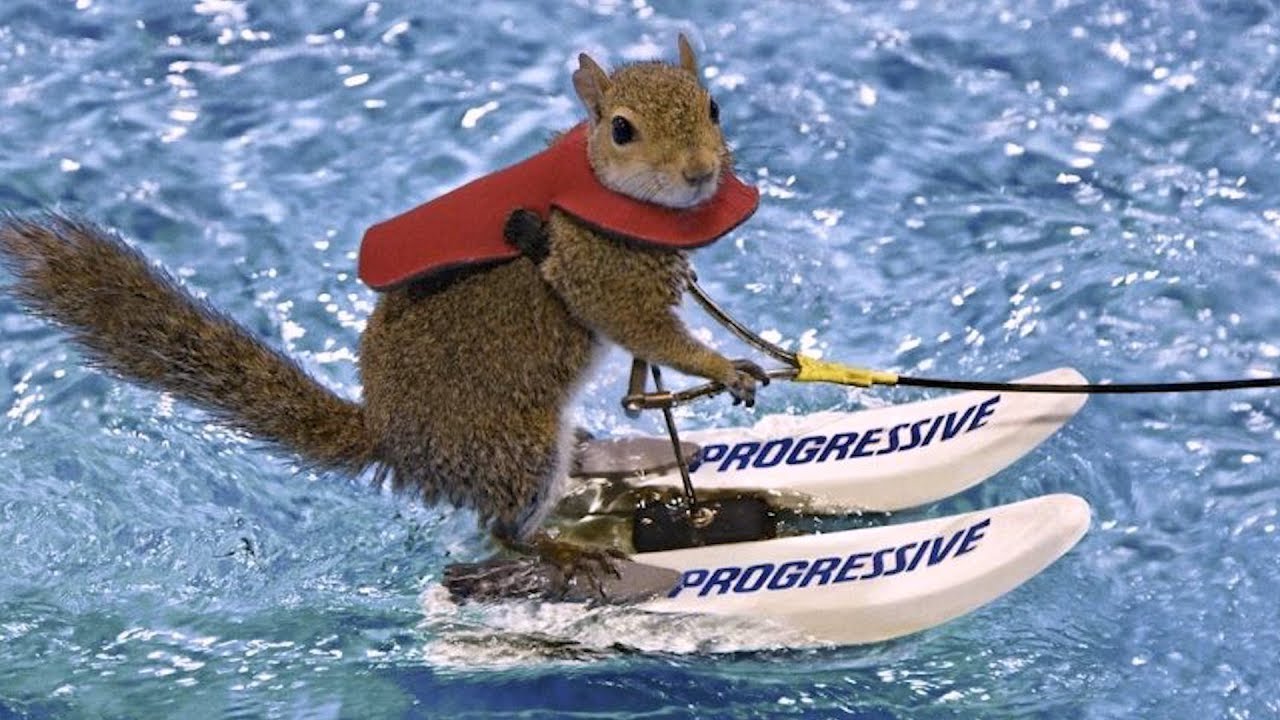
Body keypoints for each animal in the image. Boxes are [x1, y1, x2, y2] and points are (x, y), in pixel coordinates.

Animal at [0, 36, 765, 588]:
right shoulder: (598, 270)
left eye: (715, 107)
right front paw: (723, 366)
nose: (700, 173)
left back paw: (619, 450)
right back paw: (564, 551)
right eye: (622, 131)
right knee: (506, 529)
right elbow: (646, 329)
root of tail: (397, 443)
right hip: (514, 448)